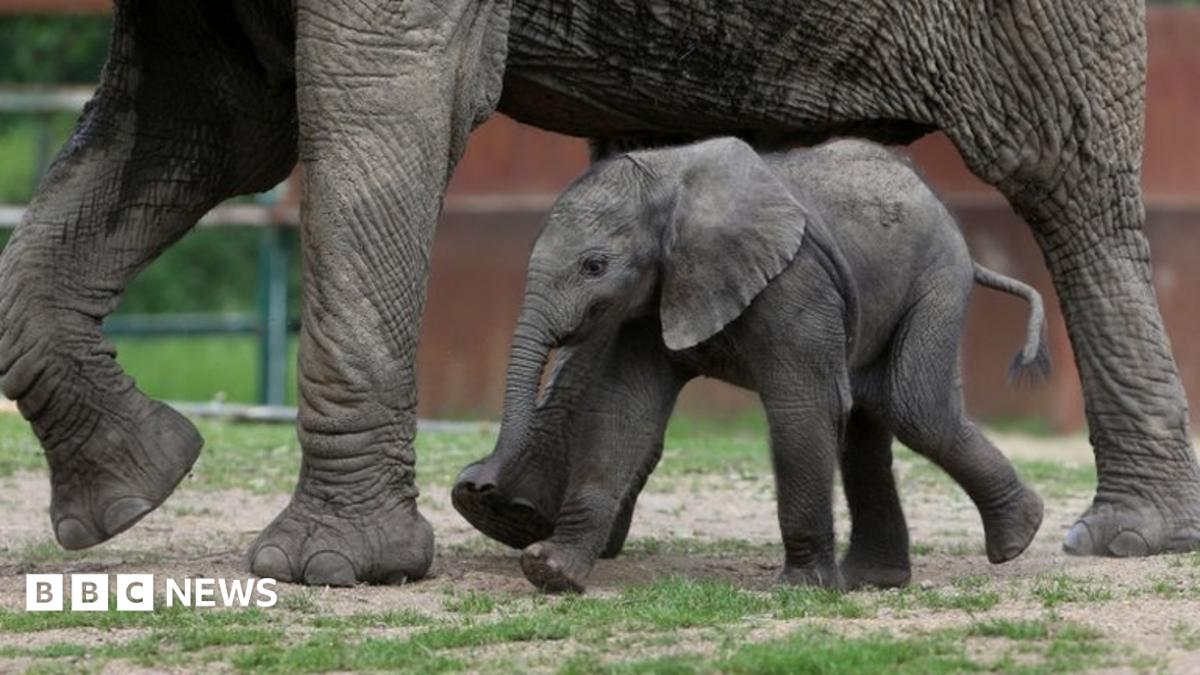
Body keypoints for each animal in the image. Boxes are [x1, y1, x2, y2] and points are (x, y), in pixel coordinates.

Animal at [455, 137, 1047, 593]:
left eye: (594, 266)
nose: (478, 485)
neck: (668, 180)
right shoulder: (649, 301)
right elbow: (623, 412)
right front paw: (550, 571)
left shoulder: (794, 280)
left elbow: (799, 408)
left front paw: (802, 591)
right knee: (868, 424)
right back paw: (874, 580)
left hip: (936, 279)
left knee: (914, 407)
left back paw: (1018, 536)